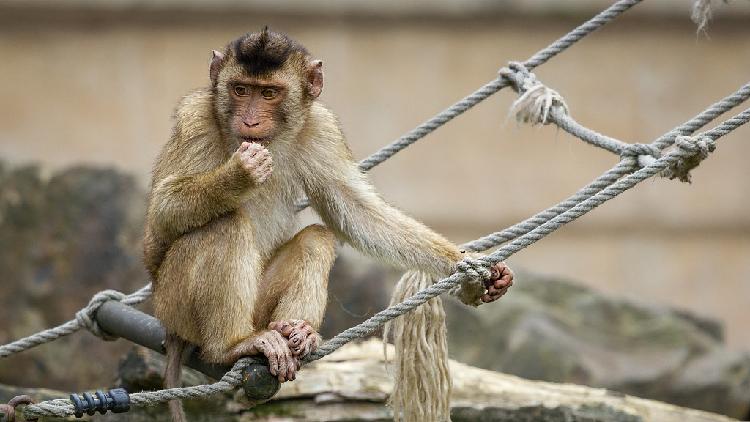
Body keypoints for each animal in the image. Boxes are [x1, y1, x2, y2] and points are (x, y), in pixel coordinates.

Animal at [143, 28, 514, 422]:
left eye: (269, 93)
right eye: (240, 89)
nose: (251, 121)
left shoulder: (321, 129)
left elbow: (355, 212)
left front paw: (468, 269)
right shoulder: (194, 118)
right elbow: (162, 212)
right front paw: (239, 174)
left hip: (256, 307)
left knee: (317, 239)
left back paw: (296, 333)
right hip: (173, 304)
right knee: (225, 223)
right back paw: (232, 345)